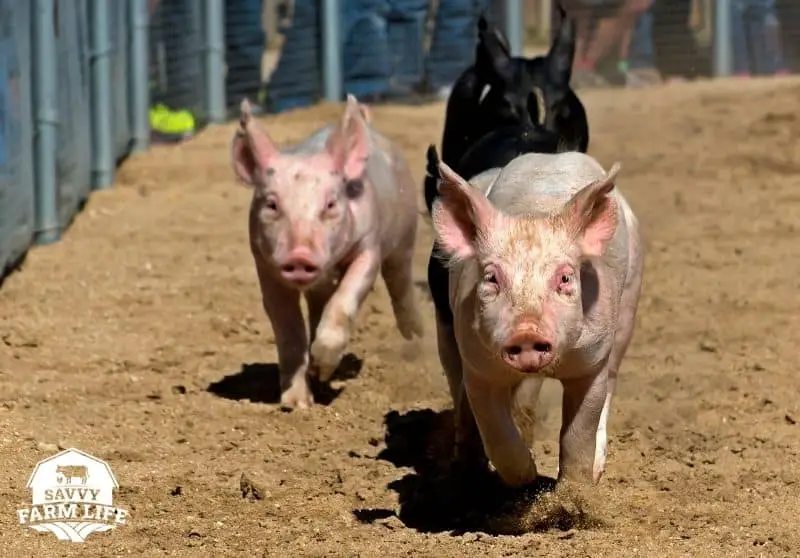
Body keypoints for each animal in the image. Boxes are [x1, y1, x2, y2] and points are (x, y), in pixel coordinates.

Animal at [230, 95, 424, 409]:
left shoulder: (369, 244)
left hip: (405, 232)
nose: (299, 256)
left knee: (400, 280)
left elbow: (345, 299)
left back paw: (415, 337)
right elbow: (288, 330)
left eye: (331, 204)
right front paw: (297, 403)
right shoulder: (264, 262)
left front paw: (323, 369)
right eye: (272, 204)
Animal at [428, 151, 644, 487]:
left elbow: (578, 434)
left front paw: (574, 490)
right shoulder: (477, 363)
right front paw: (528, 477)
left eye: (565, 277)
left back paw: (597, 468)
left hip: (628, 306)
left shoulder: (592, 359)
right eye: (491, 278)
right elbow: (497, 434)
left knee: (612, 379)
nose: (526, 332)